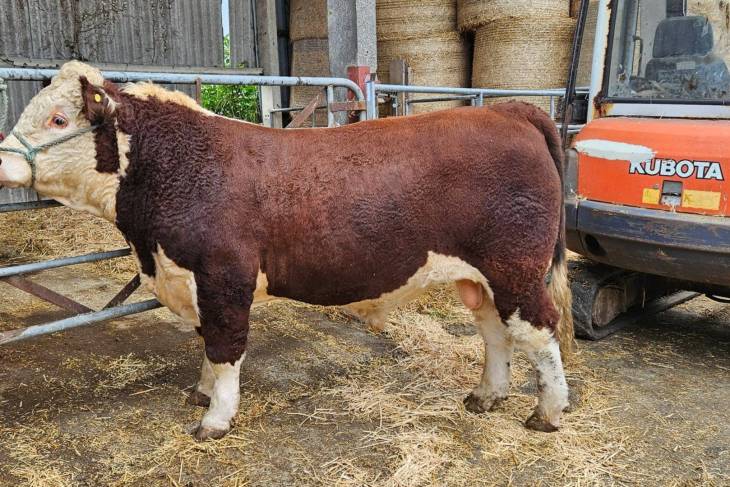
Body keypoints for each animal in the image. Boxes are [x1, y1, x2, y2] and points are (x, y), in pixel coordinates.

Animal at [0, 62, 574, 441]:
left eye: (58, 119)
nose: (3, 161)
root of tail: (511, 111)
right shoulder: (192, 282)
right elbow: (206, 344)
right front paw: (201, 392)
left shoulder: (223, 278)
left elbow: (225, 348)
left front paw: (215, 419)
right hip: (480, 276)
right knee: (495, 331)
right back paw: (486, 395)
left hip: (516, 268)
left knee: (540, 333)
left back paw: (547, 412)